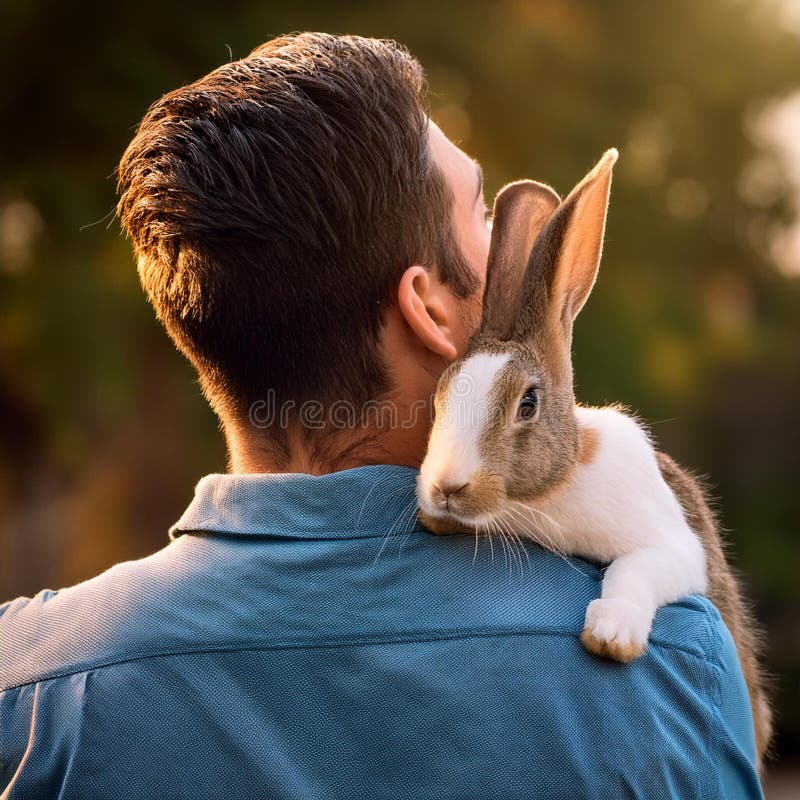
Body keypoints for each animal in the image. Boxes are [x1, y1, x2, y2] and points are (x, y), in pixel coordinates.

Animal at [416, 149, 772, 765]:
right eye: (441, 393)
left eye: (528, 403)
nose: (446, 488)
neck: (550, 495)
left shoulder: (675, 546)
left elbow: (635, 569)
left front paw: (611, 636)